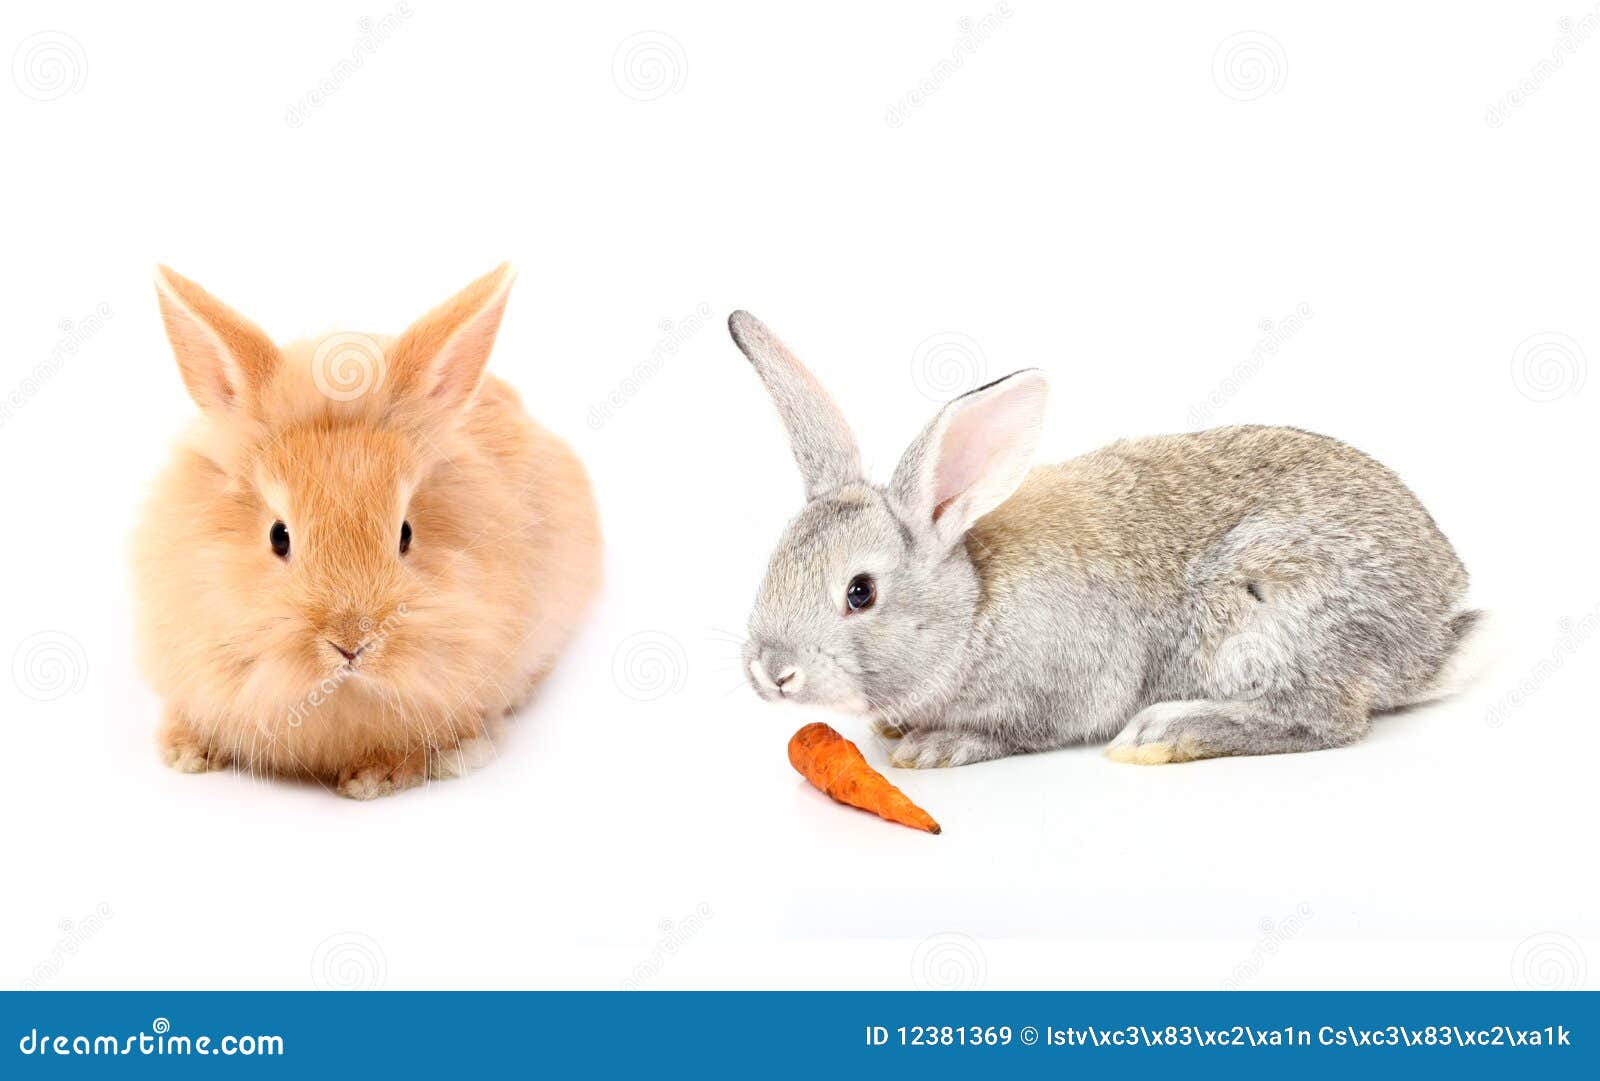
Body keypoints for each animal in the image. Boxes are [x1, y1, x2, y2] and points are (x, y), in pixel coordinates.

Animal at [726, 311, 1487, 769]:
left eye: (860, 592)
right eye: (773, 563)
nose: (772, 671)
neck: (972, 607)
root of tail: (1433, 636)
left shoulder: (1066, 683)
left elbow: (1016, 729)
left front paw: (934, 747)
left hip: (1266, 615)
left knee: (1326, 717)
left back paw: (1163, 733)